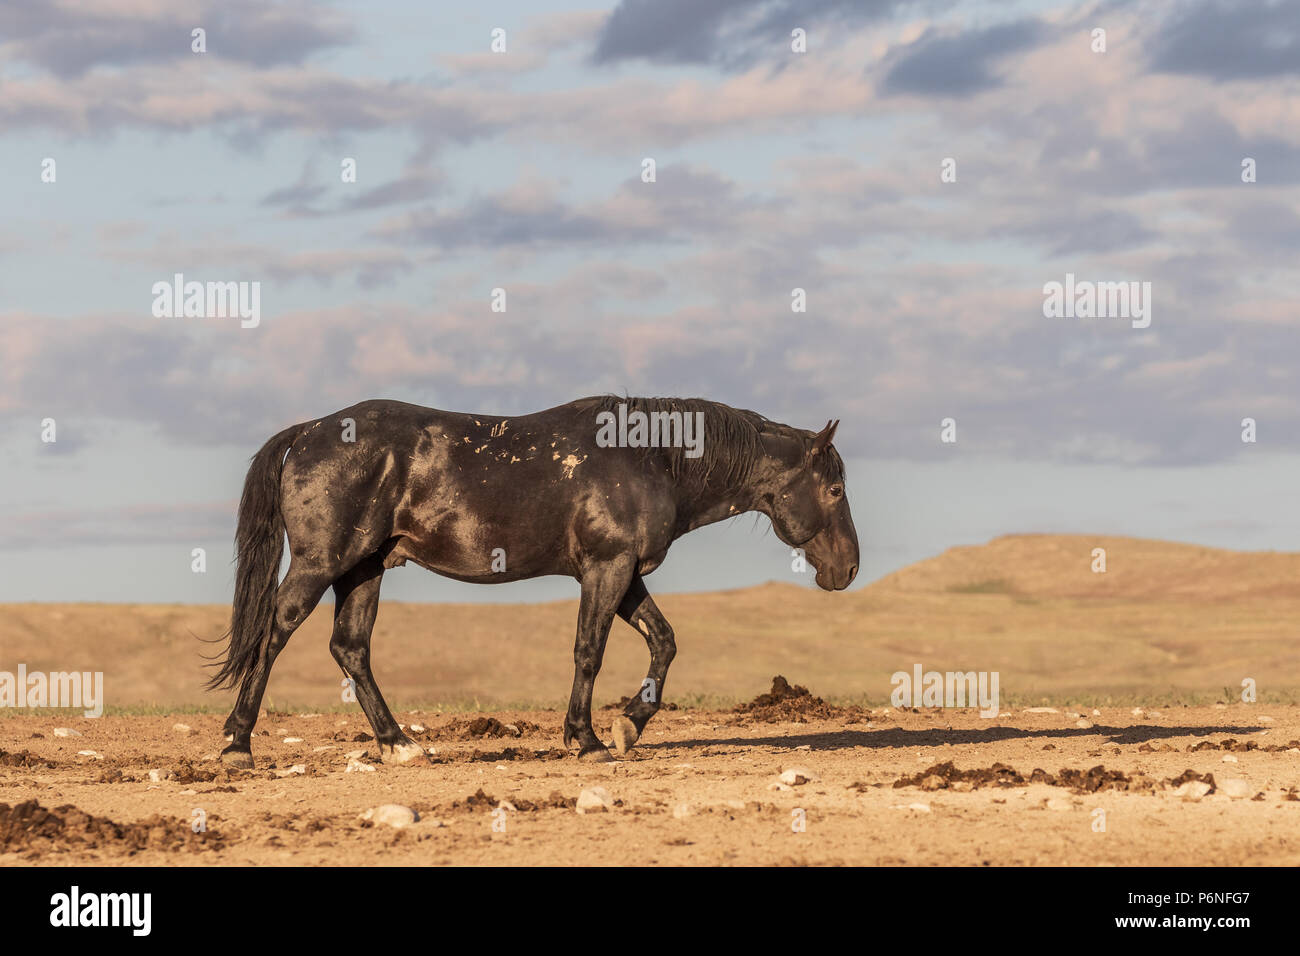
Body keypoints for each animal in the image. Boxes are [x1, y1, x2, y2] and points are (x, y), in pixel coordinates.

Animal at [208, 396, 859, 766]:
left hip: (363, 571)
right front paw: (587, 738)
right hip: (322, 564)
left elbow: (664, 643)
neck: (650, 459)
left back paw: (398, 744)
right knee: (274, 632)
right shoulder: (605, 569)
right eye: (834, 489)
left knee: (350, 648)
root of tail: (310, 431)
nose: (848, 568)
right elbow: (589, 651)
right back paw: (238, 744)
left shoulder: (625, 576)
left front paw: (628, 725)